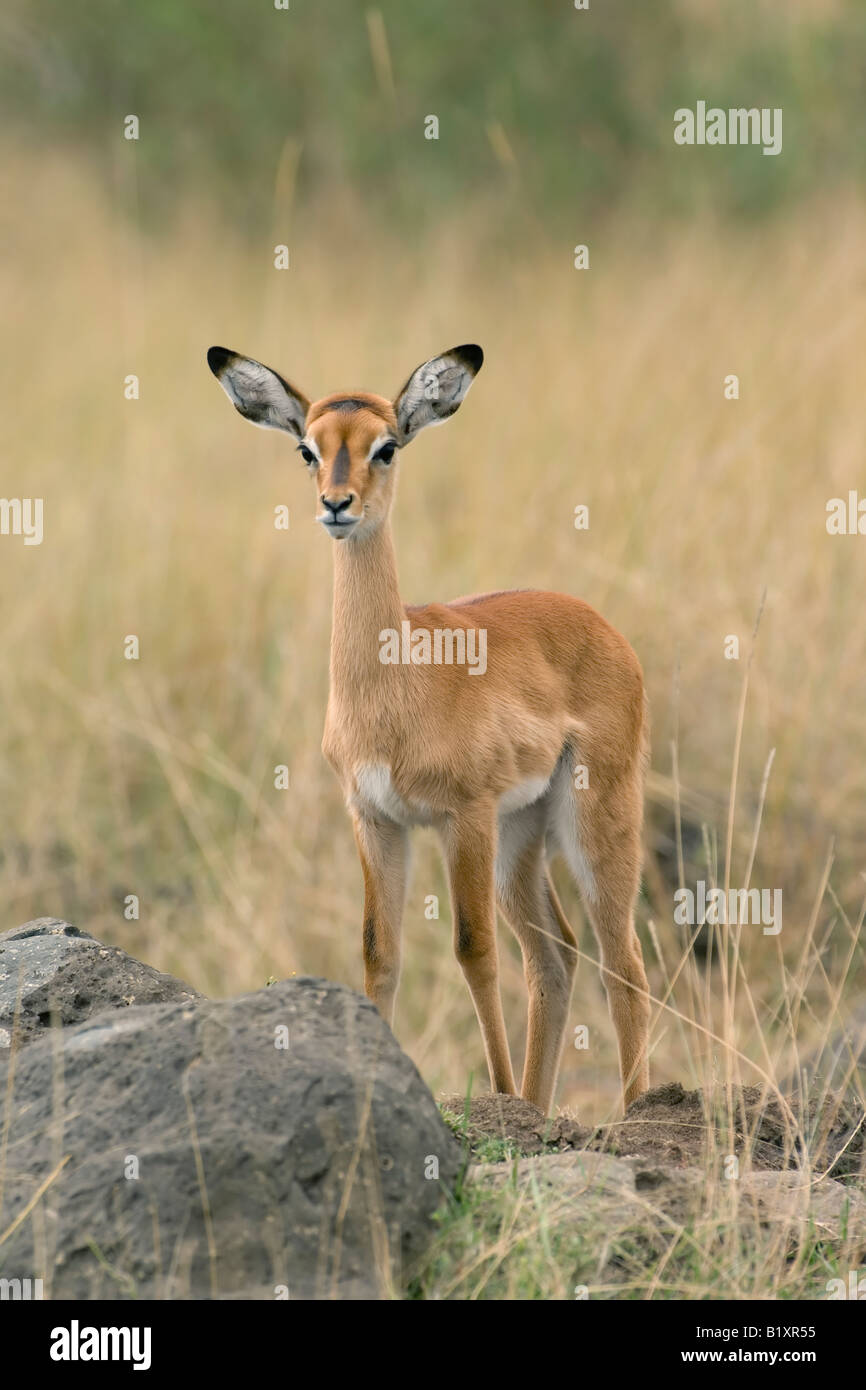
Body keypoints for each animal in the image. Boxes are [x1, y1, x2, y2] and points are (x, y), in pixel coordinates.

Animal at [207, 342, 651, 1113]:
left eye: (385, 446)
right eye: (307, 448)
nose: (336, 505)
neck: (398, 681)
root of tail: (603, 627)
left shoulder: (461, 817)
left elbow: (473, 950)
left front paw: (494, 1092)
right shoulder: (375, 819)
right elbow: (379, 952)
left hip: (592, 819)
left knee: (621, 959)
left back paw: (631, 1113)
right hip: (521, 832)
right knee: (555, 953)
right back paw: (535, 1105)